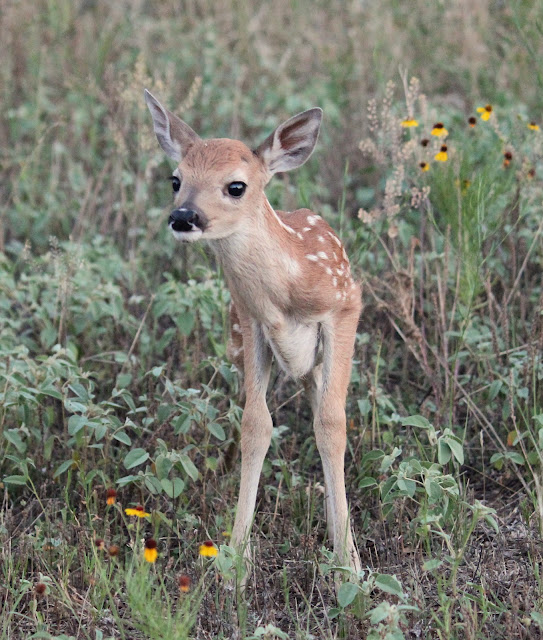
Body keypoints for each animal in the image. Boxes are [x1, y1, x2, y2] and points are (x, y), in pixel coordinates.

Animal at [144, 89, 362, 577]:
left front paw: (349, 561)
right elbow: (256, 425)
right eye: (175, 179)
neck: (283, 294)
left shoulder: (344, 308)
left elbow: (332, 423)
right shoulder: (251, 323)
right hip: (237, 343)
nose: (184, 217)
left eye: (236, 186)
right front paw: (235, 559)